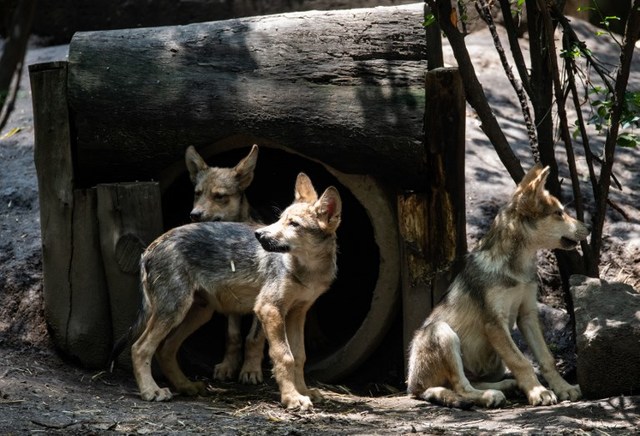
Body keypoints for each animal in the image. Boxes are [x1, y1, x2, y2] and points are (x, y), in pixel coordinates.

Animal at [131, 173, 342, 411]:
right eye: (280, 219)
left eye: (294, 224)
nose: (259, 234)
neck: (307, 270)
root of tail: (149, 248)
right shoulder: (269, 308)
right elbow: (284, 356)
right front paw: (292, 398)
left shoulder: (297, 313)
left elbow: (299, 356)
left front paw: (304, 392)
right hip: (174, 311)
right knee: (140, 348)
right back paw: (151, 391)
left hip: (198, 313)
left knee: (165, 349)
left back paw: (186, 386)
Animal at [185, 144, 266, 384]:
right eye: (197, 193)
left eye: (219, 196)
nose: (194, 215)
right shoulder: (230, 297)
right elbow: (233, 337)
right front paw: (229, 366)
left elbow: (253, 338)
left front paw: (250, 369)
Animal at [407, 164, 590, 409]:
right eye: (559, 213)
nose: (588, 228)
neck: (518, 267)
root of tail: (411, 386)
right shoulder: (495, 323)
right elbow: (522, 361)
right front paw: (539, 392)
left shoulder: (527, 314)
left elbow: (546, 359)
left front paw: (563, 388)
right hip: (442, 332)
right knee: (459, 387)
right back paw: (489, 396)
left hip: (492, 364)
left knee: (465, 383)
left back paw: (506, 386)